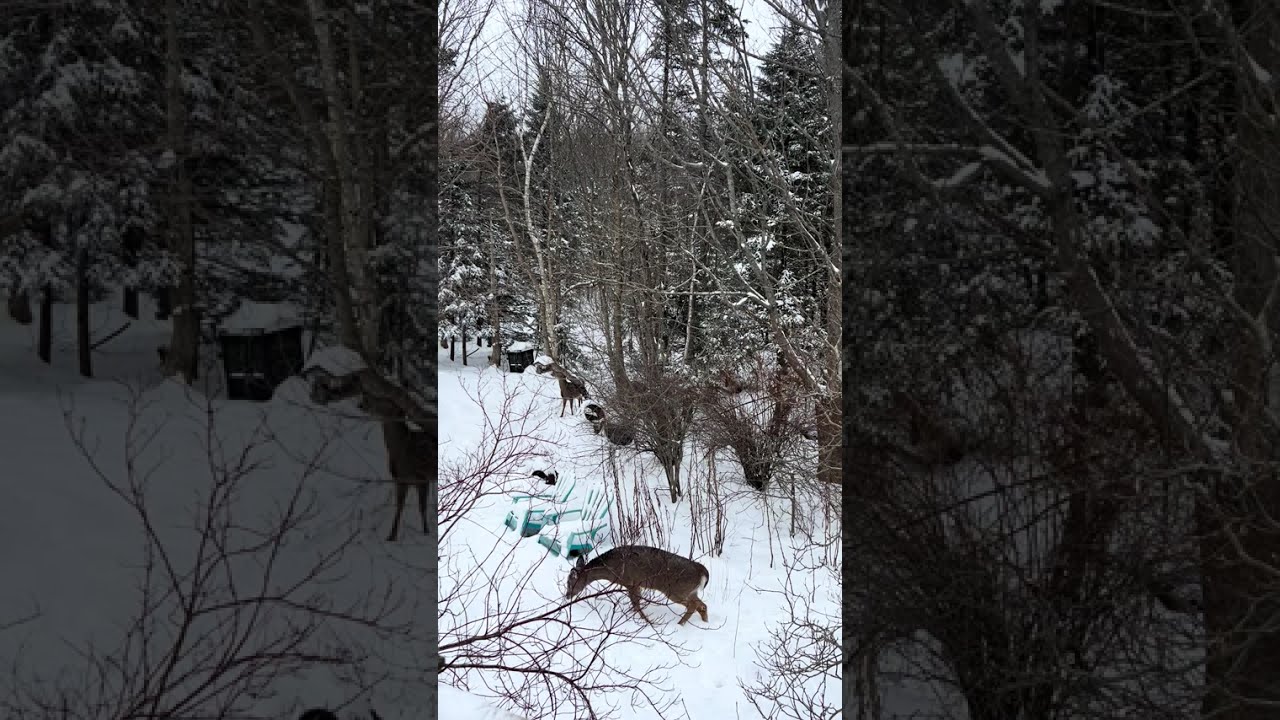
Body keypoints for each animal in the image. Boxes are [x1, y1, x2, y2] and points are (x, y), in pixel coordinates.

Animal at [565, 545, 710, 625]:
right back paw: (705, 622)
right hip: (689, 591)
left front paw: (649, 622)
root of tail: (701, 570)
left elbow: (636, 605)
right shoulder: (635, 585)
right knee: (702, 604)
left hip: (676, 590)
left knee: (693, 605)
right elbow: (636, 605)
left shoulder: (631, 582)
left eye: (569, 583)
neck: (612, 569)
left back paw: (679, 624)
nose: (567, 596)